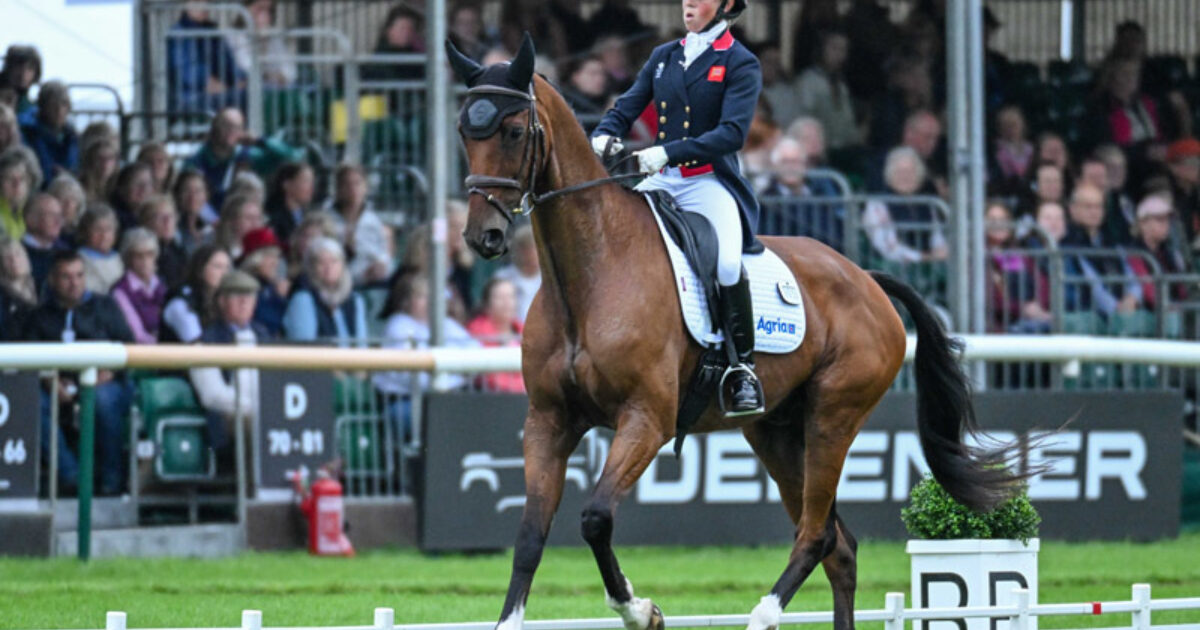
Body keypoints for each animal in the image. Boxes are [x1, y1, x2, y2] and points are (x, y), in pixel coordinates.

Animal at [445, 35, 1022, 630]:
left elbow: (596, 517)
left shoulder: (646, 419)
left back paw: (762, 614)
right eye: (465, 131)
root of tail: (866, 279)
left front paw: (641, 610)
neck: (589, 274)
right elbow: (530, 535)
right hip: (775, 432)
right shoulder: (549, 421)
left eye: (515, 131)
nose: (483, 237)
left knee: (816, 535)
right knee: (839, 546)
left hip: (832, 418)